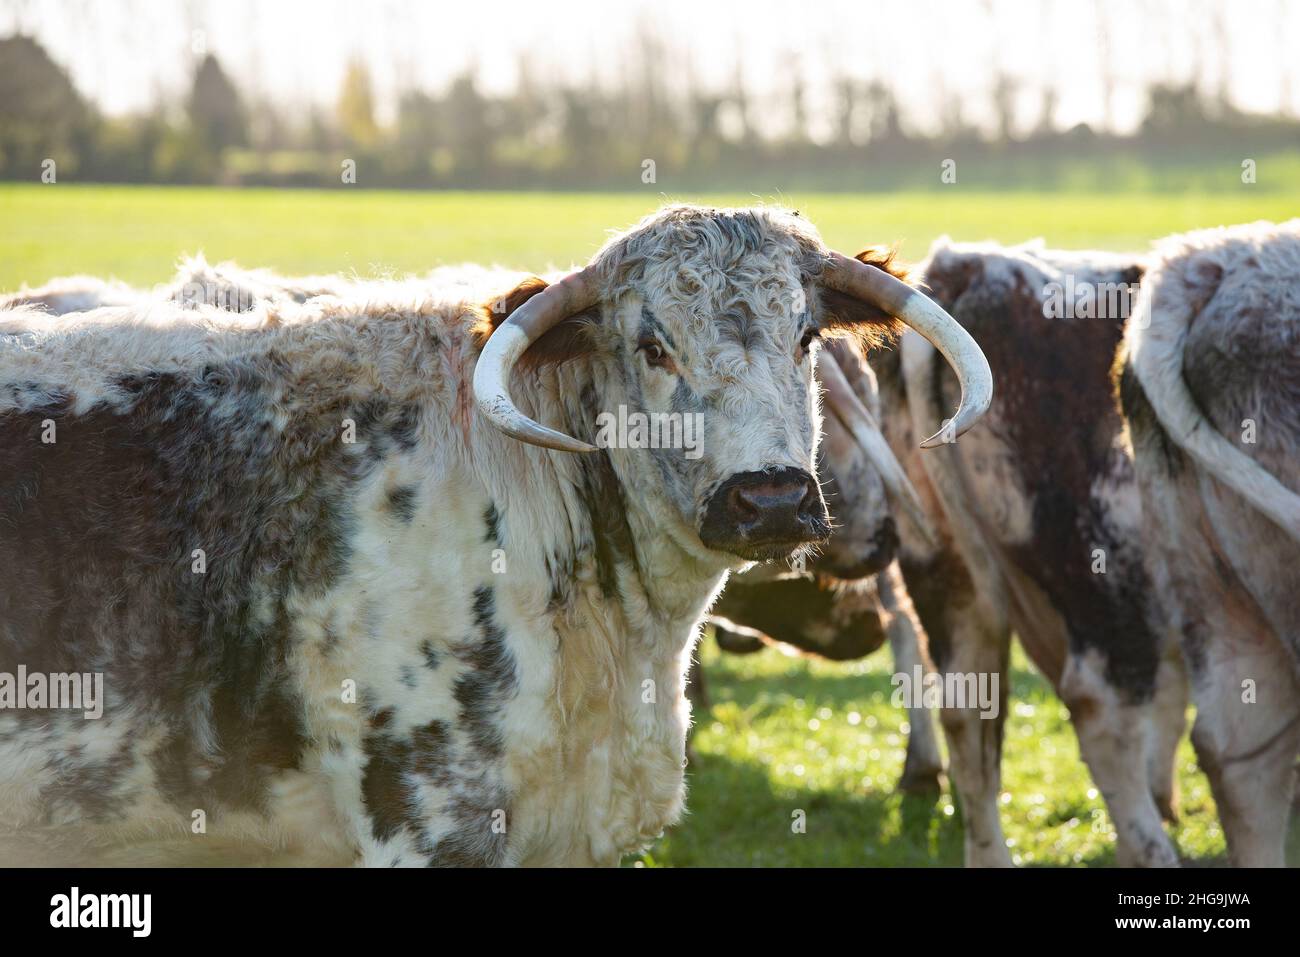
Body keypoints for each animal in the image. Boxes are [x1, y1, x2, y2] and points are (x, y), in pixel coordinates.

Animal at [874, 239, 1186, 867]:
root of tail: (966, 265)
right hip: (1104, 566)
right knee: (1101, 706)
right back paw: (1152, 848)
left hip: (946, 569)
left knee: (963, 707)